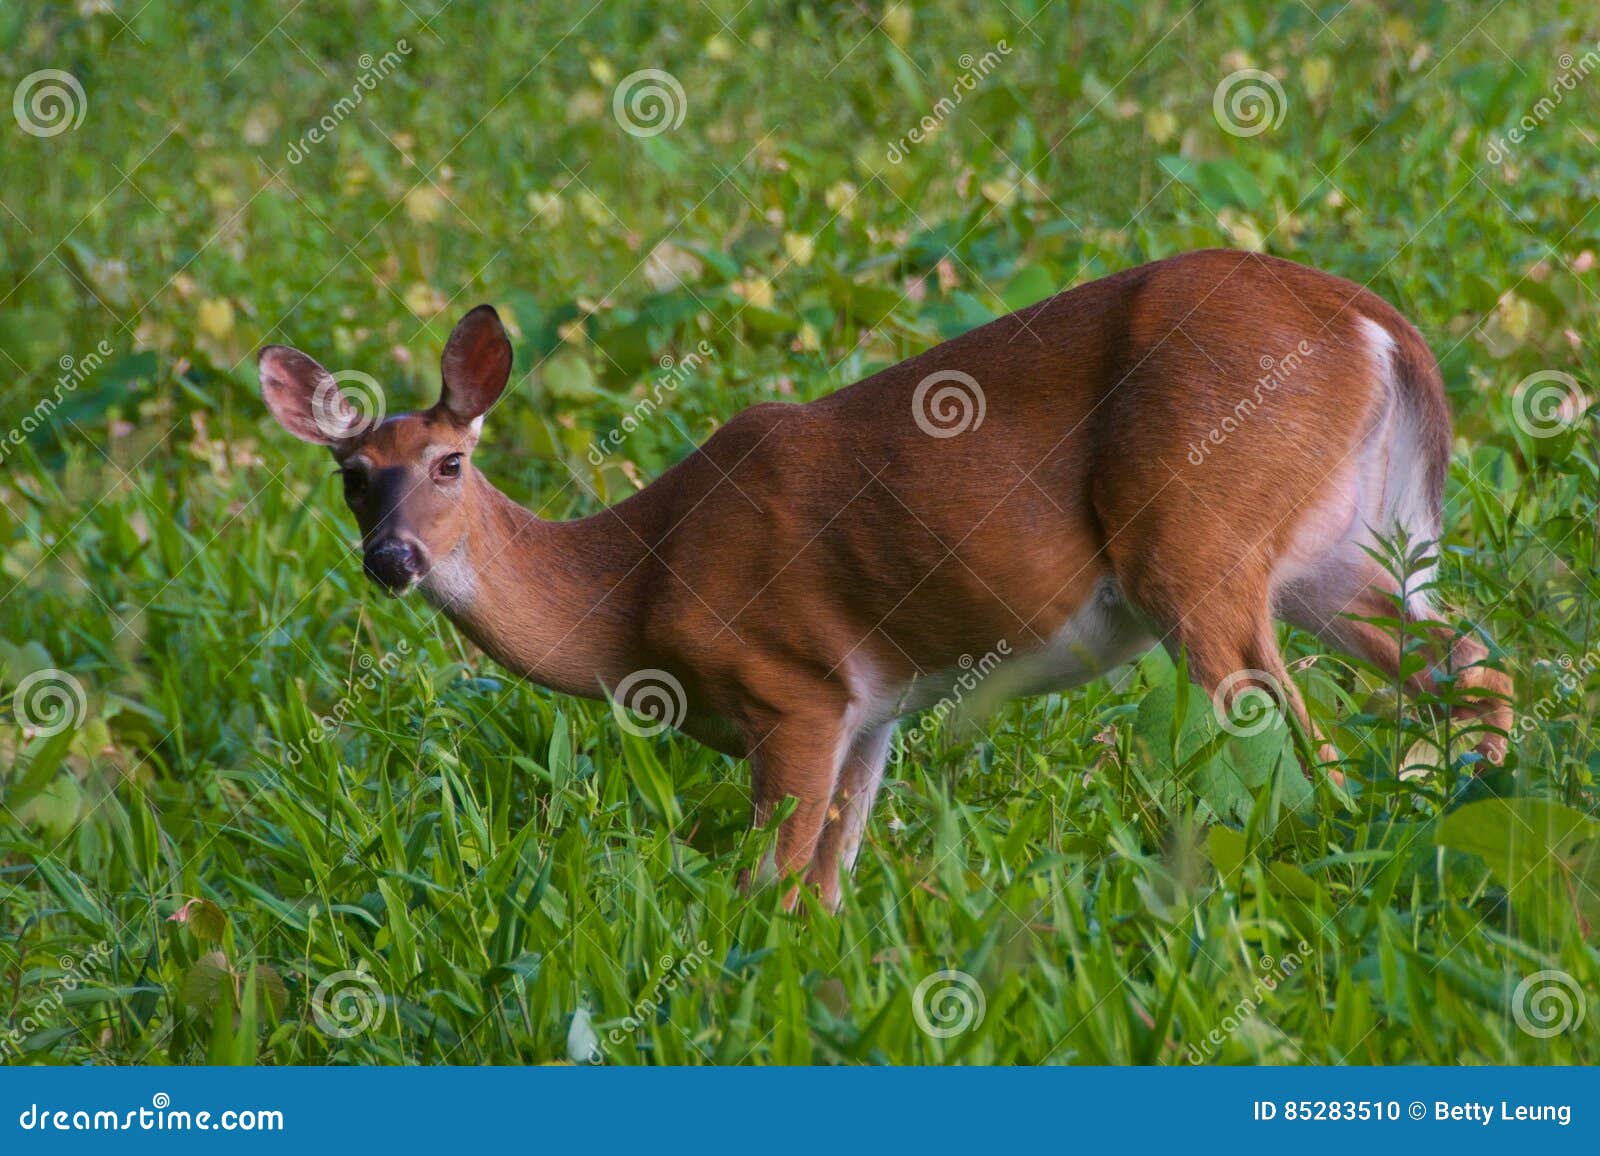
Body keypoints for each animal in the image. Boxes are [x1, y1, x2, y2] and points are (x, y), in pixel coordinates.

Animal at [260, 248, 1513, 910]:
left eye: (449, 462)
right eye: (350, 478)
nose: (393, 559)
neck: (632, 596)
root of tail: (1373, 324)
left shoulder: (790, 690)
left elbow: (768, 883)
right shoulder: (870, 711)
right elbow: (828, 885)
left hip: (1195, 544)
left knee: (1295, 726)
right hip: (1326, 552)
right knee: (1467, 655)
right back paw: (1466, 807)